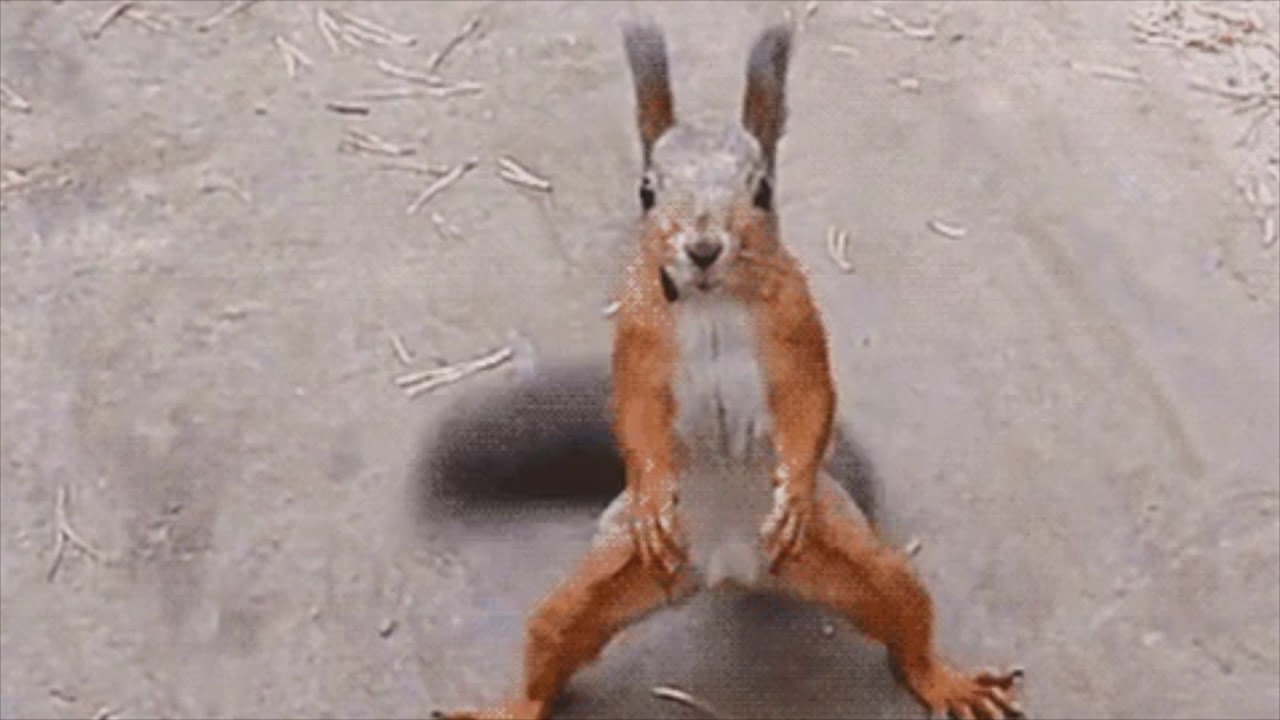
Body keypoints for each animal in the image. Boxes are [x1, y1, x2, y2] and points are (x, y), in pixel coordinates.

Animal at [436, 22, 1024, 720]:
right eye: (647, 190)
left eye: (762, 189)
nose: (703, 248)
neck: (712, 303)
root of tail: (729, 566)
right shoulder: (638, 342)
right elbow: (635, 415)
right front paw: (654, 496)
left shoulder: (798, 334)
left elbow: (809, 405)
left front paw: (792, 492)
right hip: (603, 578)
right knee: (550, 644)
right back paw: (511, 705)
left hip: (858, 558)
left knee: (906, 623)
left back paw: (948, 682)